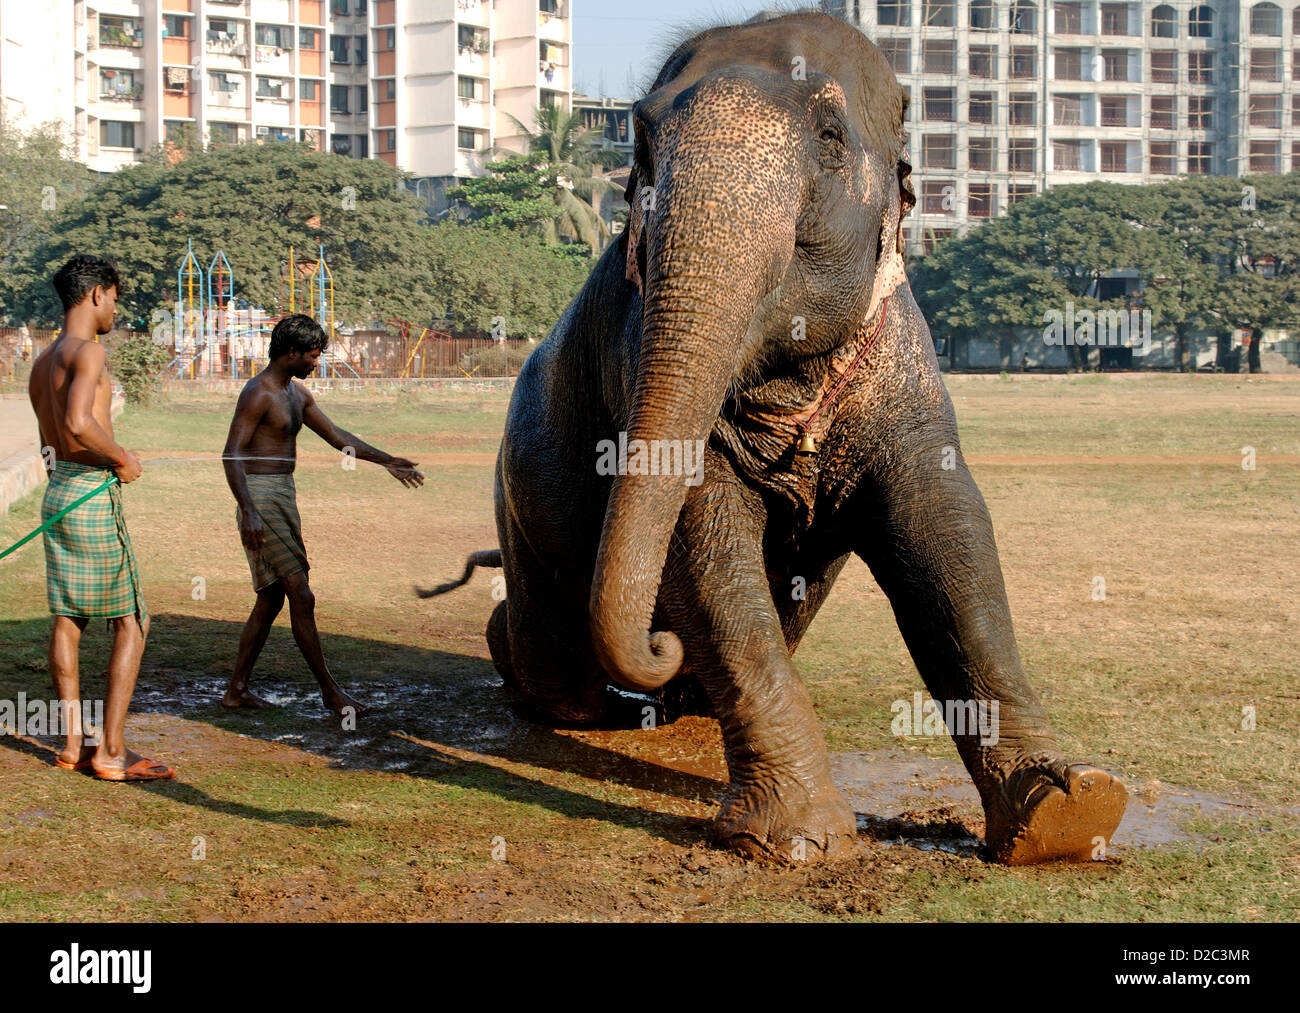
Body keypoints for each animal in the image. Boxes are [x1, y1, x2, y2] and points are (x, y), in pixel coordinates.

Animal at [427, 11, 1127, 864]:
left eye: (829, 137)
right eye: (642, 140)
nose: (657, 646)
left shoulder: (907, 360)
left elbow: (947, 532)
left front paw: (1068, 809)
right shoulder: (635, 343)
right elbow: (702, 548)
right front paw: (798, 840)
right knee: (555, 669)